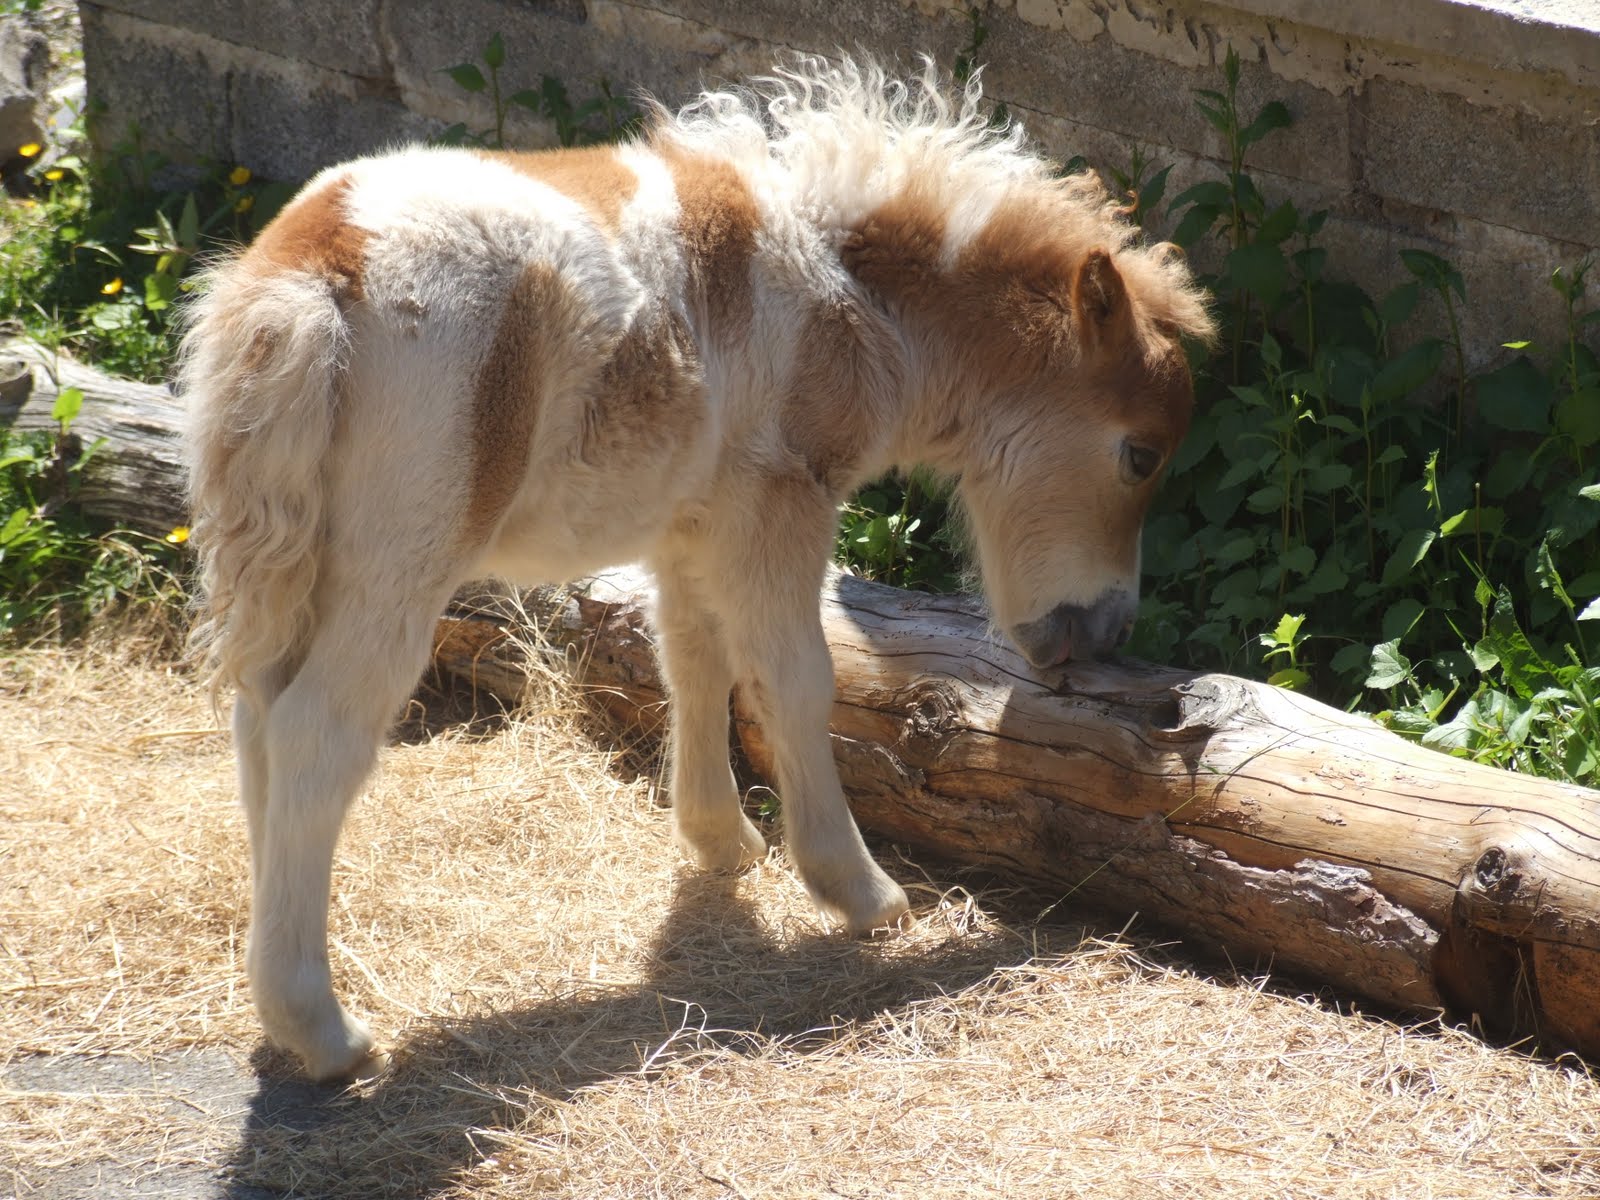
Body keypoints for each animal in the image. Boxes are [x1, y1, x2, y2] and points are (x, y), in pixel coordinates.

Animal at [179, 57, 1215, 1081]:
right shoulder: (781, 502)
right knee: (316, 734)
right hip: (399, 563)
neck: (846, 284)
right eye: (1140, 455)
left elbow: (692, 660)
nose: (1099, 633)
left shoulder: (690, 519)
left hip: (304, 564)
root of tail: (314, 267)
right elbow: (795, 683)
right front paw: (859, 891)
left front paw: (722, 843)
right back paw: (322, 1031)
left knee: (257, 722)